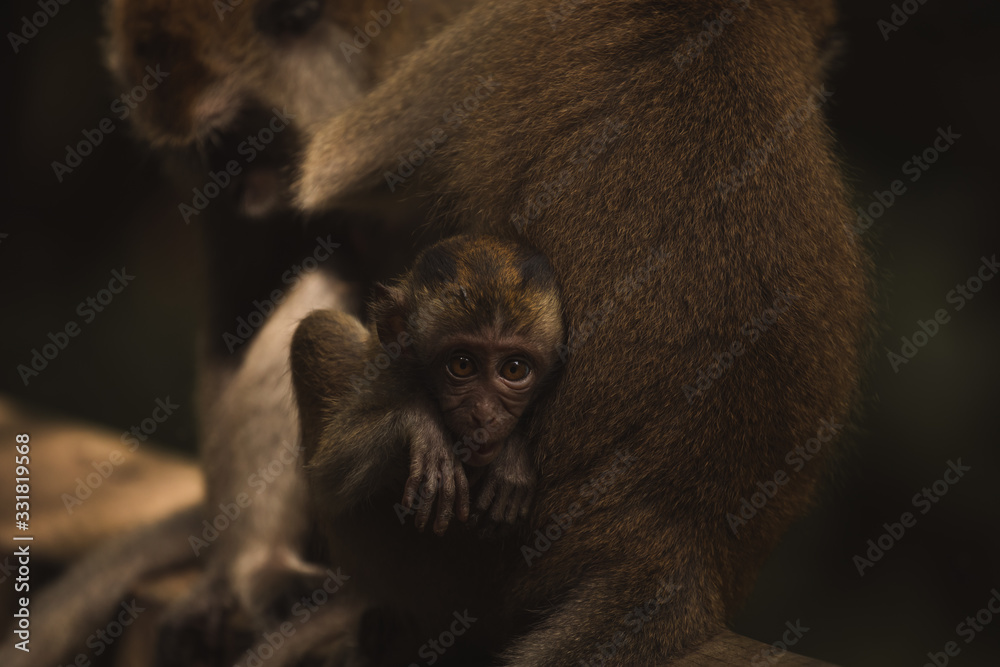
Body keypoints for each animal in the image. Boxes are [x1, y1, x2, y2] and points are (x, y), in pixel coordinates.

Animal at [293, 234, 563, 539]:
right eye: (462, 365)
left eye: (514, 369)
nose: (484, 414)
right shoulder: (390, 376)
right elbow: (326, 480)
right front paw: (424, 428)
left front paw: (513, 460)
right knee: (317, 326)